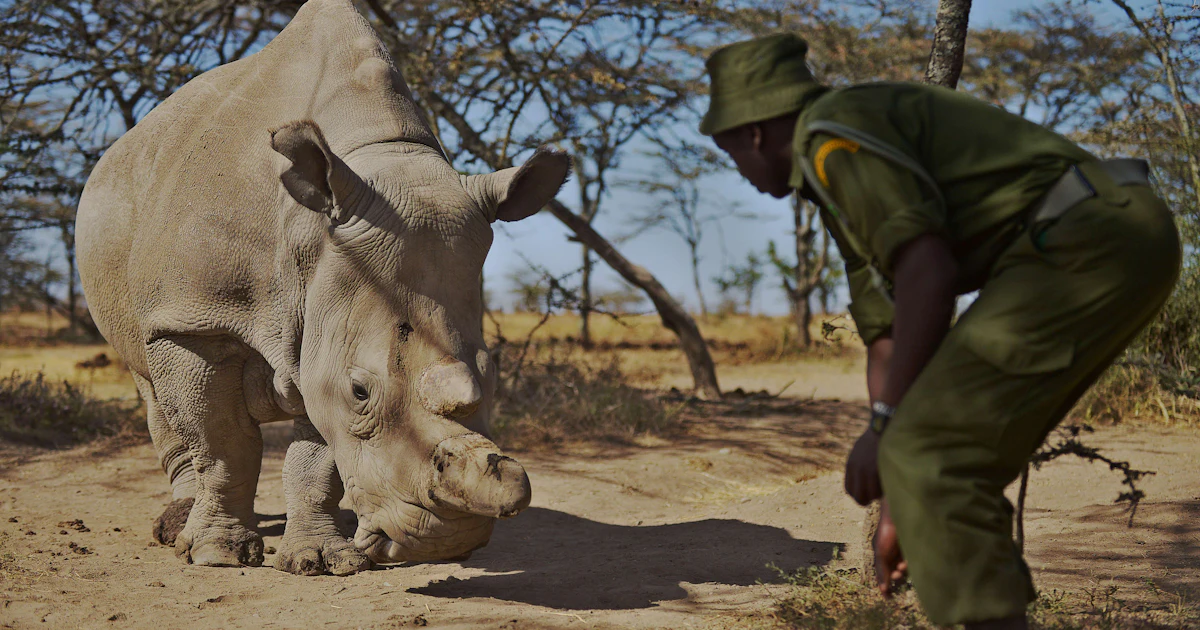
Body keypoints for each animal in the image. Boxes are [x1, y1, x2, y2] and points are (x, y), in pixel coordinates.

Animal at [75, 0, 568, 575]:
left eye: (492, 374)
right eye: (361, 391)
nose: (444, 543)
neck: (308, 237)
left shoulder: (327, 314)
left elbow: (317, 457)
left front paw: (322, 561)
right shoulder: (196, 318)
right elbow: (224, 445)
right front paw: (217, 555)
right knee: (153, 385)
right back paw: (176, 526)